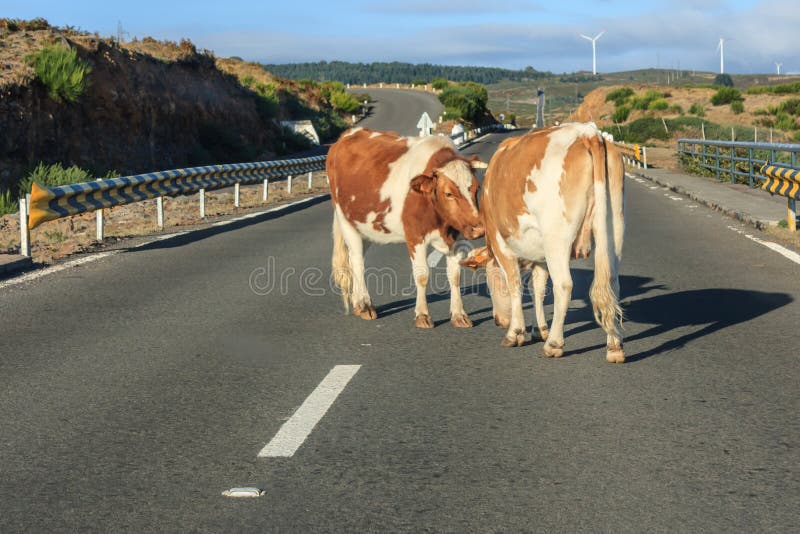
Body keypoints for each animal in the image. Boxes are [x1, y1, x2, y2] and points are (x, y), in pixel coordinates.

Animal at [327, 127, 487, 328]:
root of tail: (348, 134)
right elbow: (422, 275)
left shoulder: (457, 237)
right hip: (346, 221)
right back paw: (365, 305)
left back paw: (358, 303)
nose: (479, 229)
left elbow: (455, 275)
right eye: (448, 193)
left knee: (354, 259)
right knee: (356, 262)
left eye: (476, 188)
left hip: (364, 226)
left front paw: (459, 315)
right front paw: (422, 315)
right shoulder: (415, 236)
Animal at [461, 123, 626, 362]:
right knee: (611, 283)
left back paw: (554, 344)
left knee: (564, 285)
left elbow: (515, 285)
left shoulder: (502, 245)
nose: (498, 321)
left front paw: (515, 333)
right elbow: (537, 288)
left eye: (490, 282)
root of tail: (587, 132)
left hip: (556, 237)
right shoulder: (540, 255)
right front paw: (539, 330)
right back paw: (614, 346)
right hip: (615, 227)